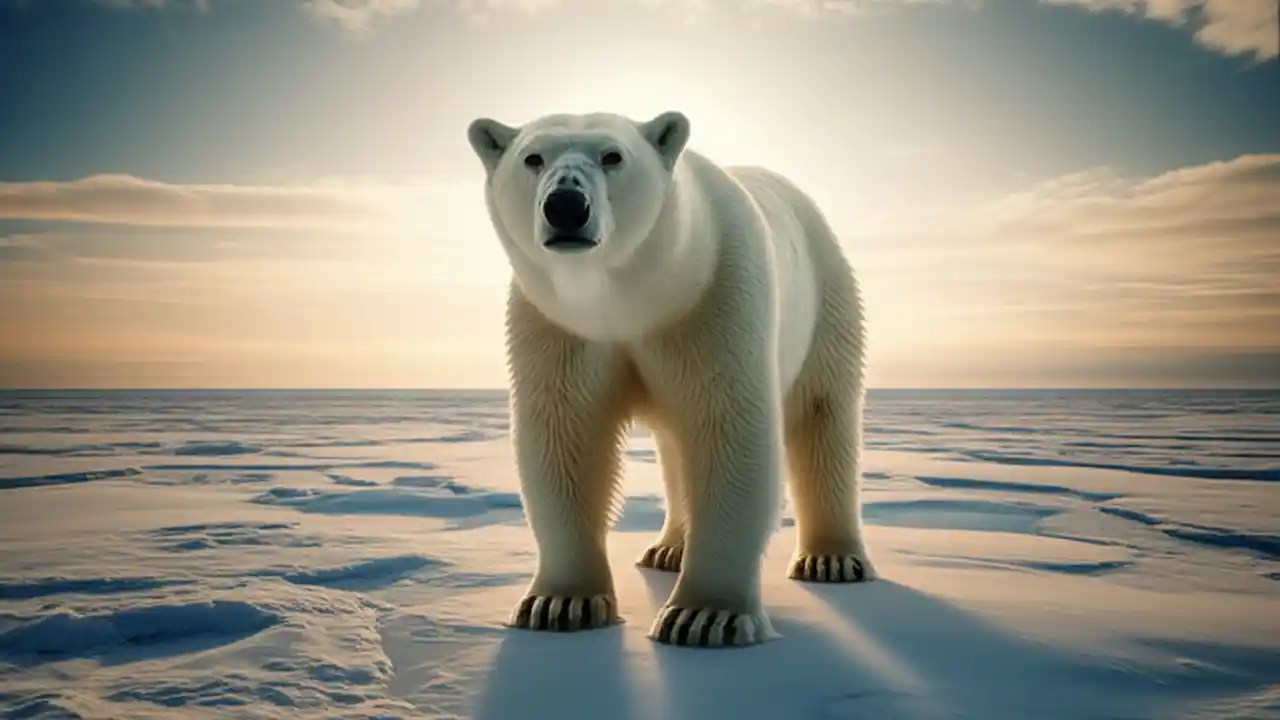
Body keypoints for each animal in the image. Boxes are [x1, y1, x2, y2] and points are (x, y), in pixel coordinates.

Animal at [466, 111, 876, 648]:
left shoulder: (719, 296)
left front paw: (705, 617)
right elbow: (564, 437)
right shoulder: (556, 326)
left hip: (827, 296)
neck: (641, 298)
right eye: (532, 158)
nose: (566, 206)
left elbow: (729, 431)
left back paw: (830, 559)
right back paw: (668, 549)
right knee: (676, 443)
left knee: (823, 412)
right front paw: (559, 604)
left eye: (613, 156)